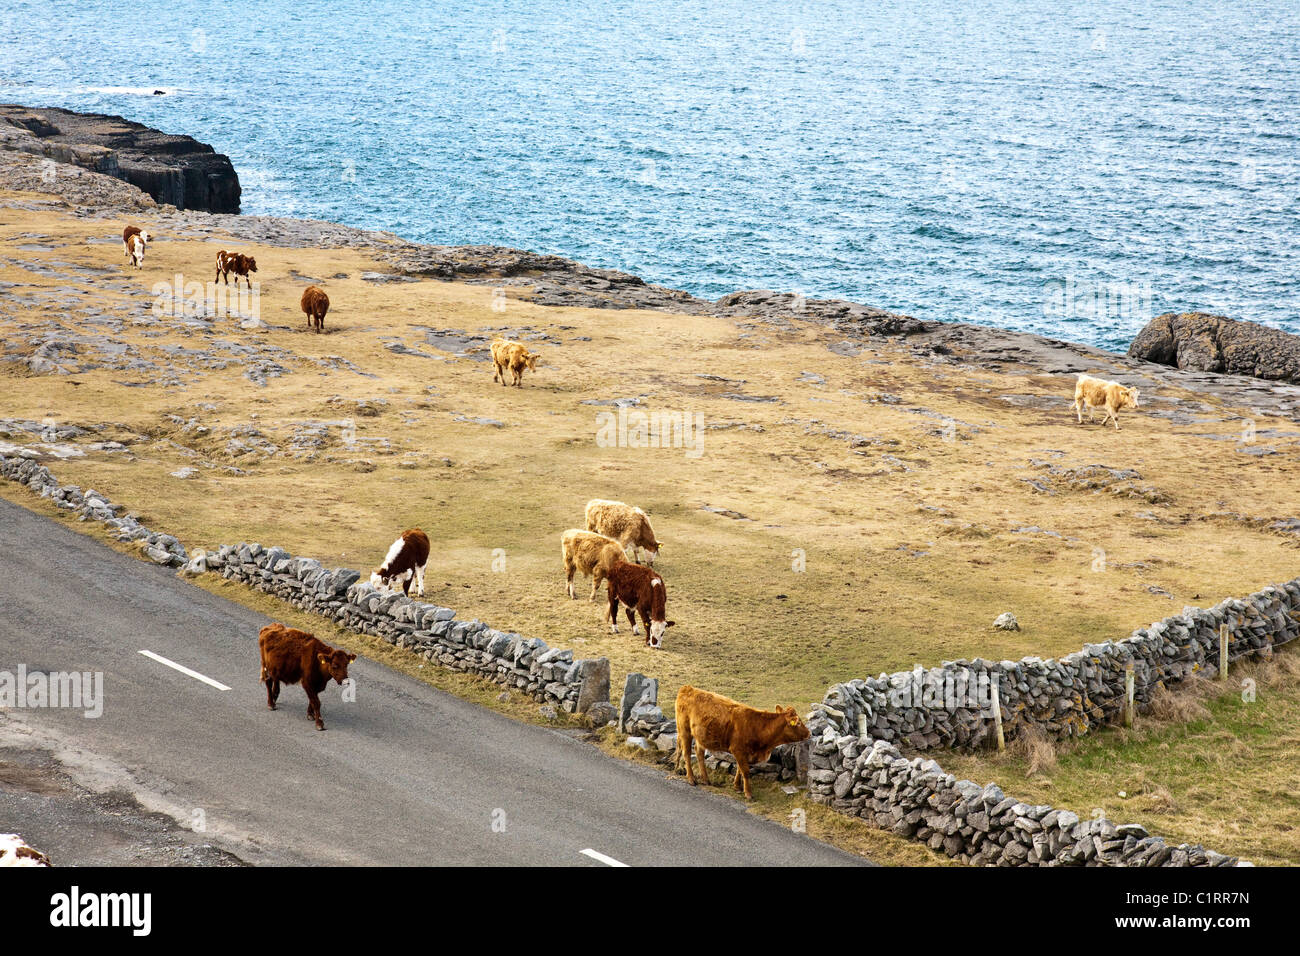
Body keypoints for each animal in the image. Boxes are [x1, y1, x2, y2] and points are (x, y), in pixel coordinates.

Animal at [674, 685, 810, 800]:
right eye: (798, 723)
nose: (809, 733)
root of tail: (688, 688)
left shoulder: (745, 753)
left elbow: (739, 768)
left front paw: (737, 786)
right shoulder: (738, 750)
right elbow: (745, 771)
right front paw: (748, 793)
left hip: (700, 736)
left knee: (699, 753)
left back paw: (706, 779)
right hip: (685, 730)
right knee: (687, 753)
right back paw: (691, 779)